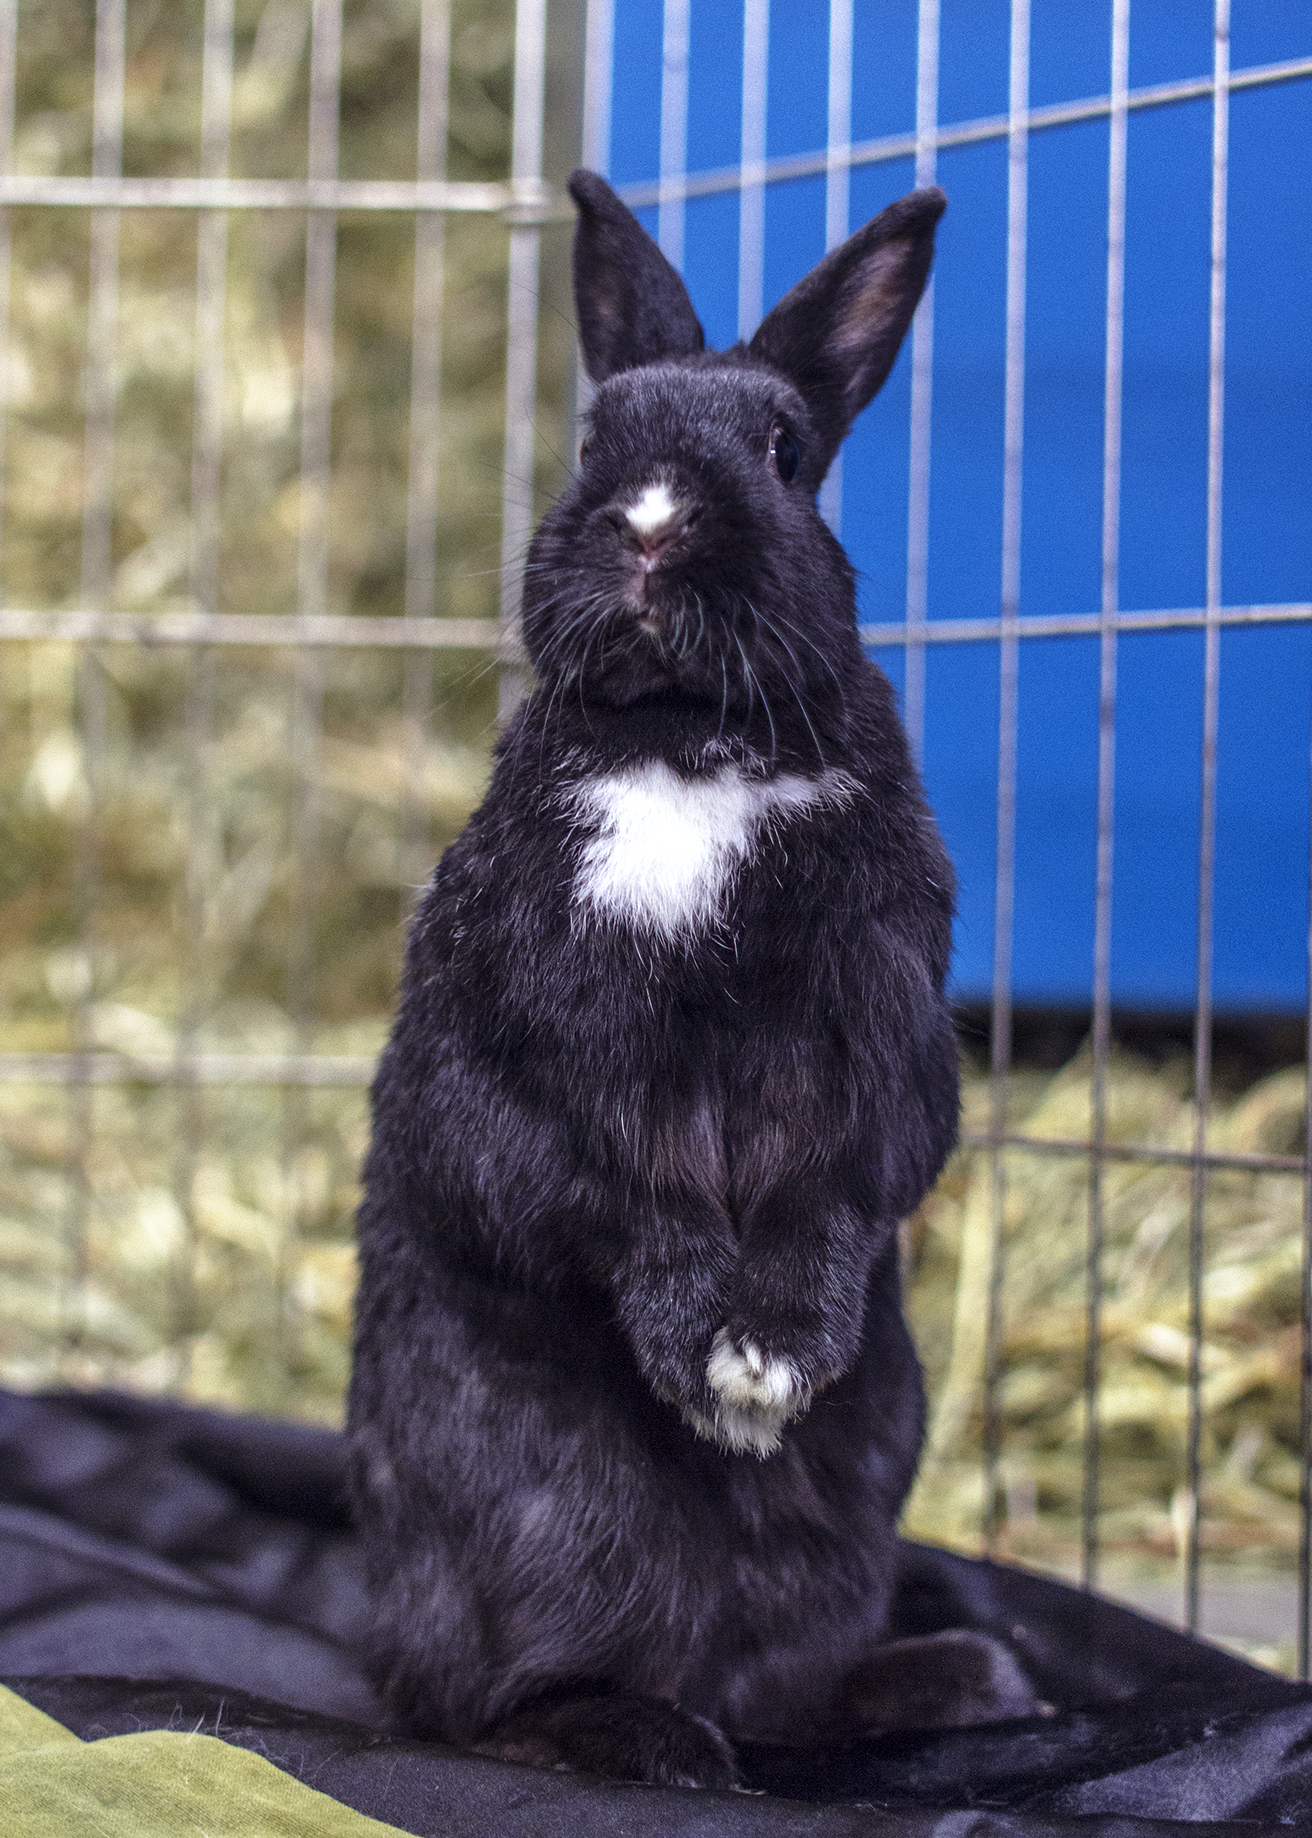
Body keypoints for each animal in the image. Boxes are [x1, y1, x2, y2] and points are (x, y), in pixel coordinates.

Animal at [347, 169, 1037, 1793]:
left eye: (784, 451)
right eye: (596, 440)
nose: (653, 526)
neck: (683, 740)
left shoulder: (880, 1036)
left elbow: (844, 1183)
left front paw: (772, 1354)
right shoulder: (521, 1059)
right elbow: (596, 1193)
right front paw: (701, 1348)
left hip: (855, 1500)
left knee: (787, 1681)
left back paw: (969, 1680)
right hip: (555, 1523)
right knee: (488, 1700)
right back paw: (656, 1741)